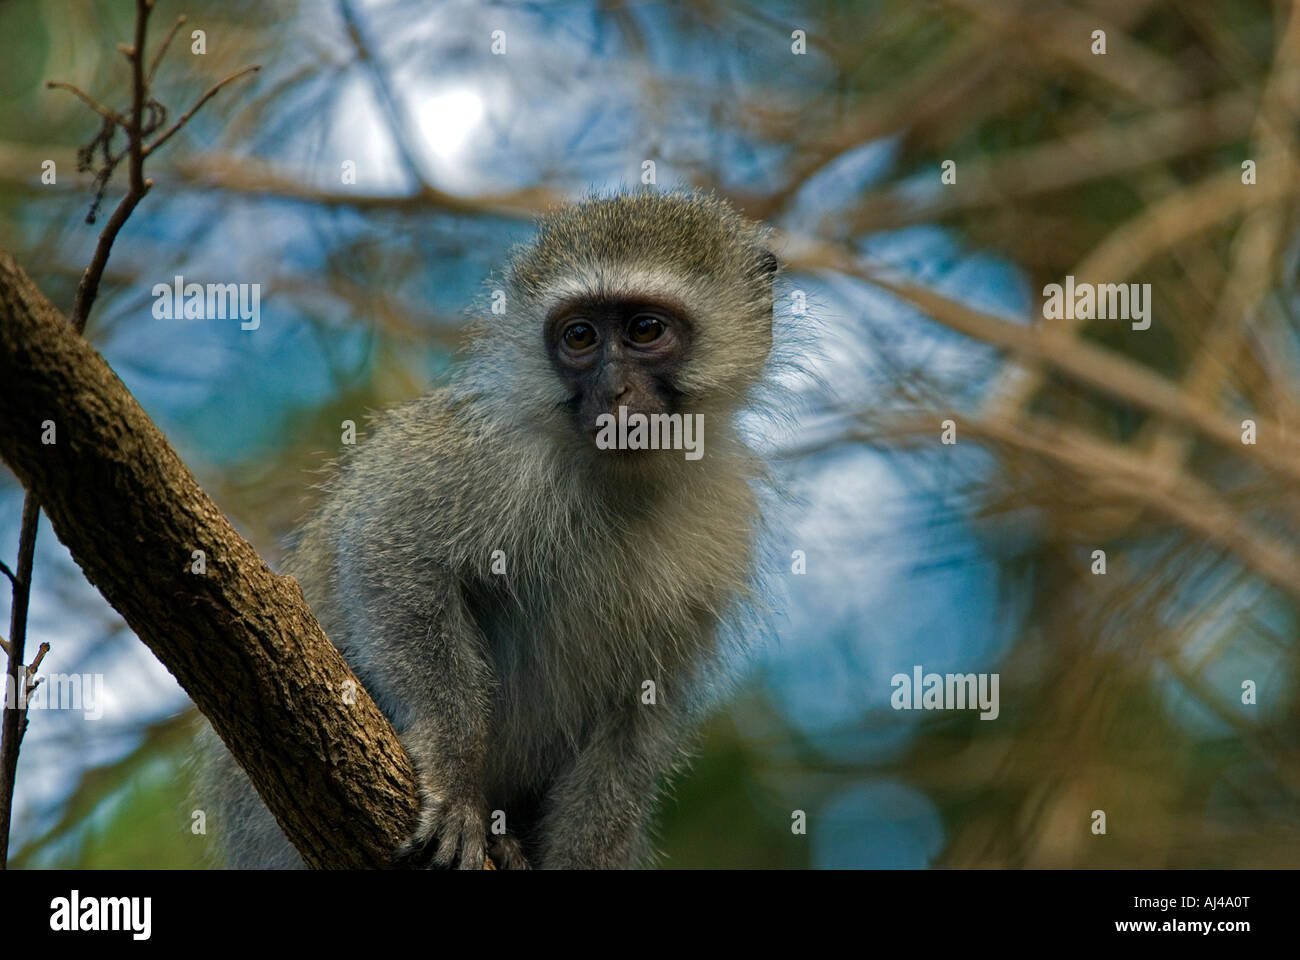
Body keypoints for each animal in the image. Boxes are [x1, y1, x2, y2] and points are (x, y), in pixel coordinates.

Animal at [197, 190, 780, 869]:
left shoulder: (724, 533)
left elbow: (637, 716)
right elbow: (390, 551)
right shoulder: (491, 456)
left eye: (644, 330)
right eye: (579, 336)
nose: (613, 391)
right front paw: (454, 774)